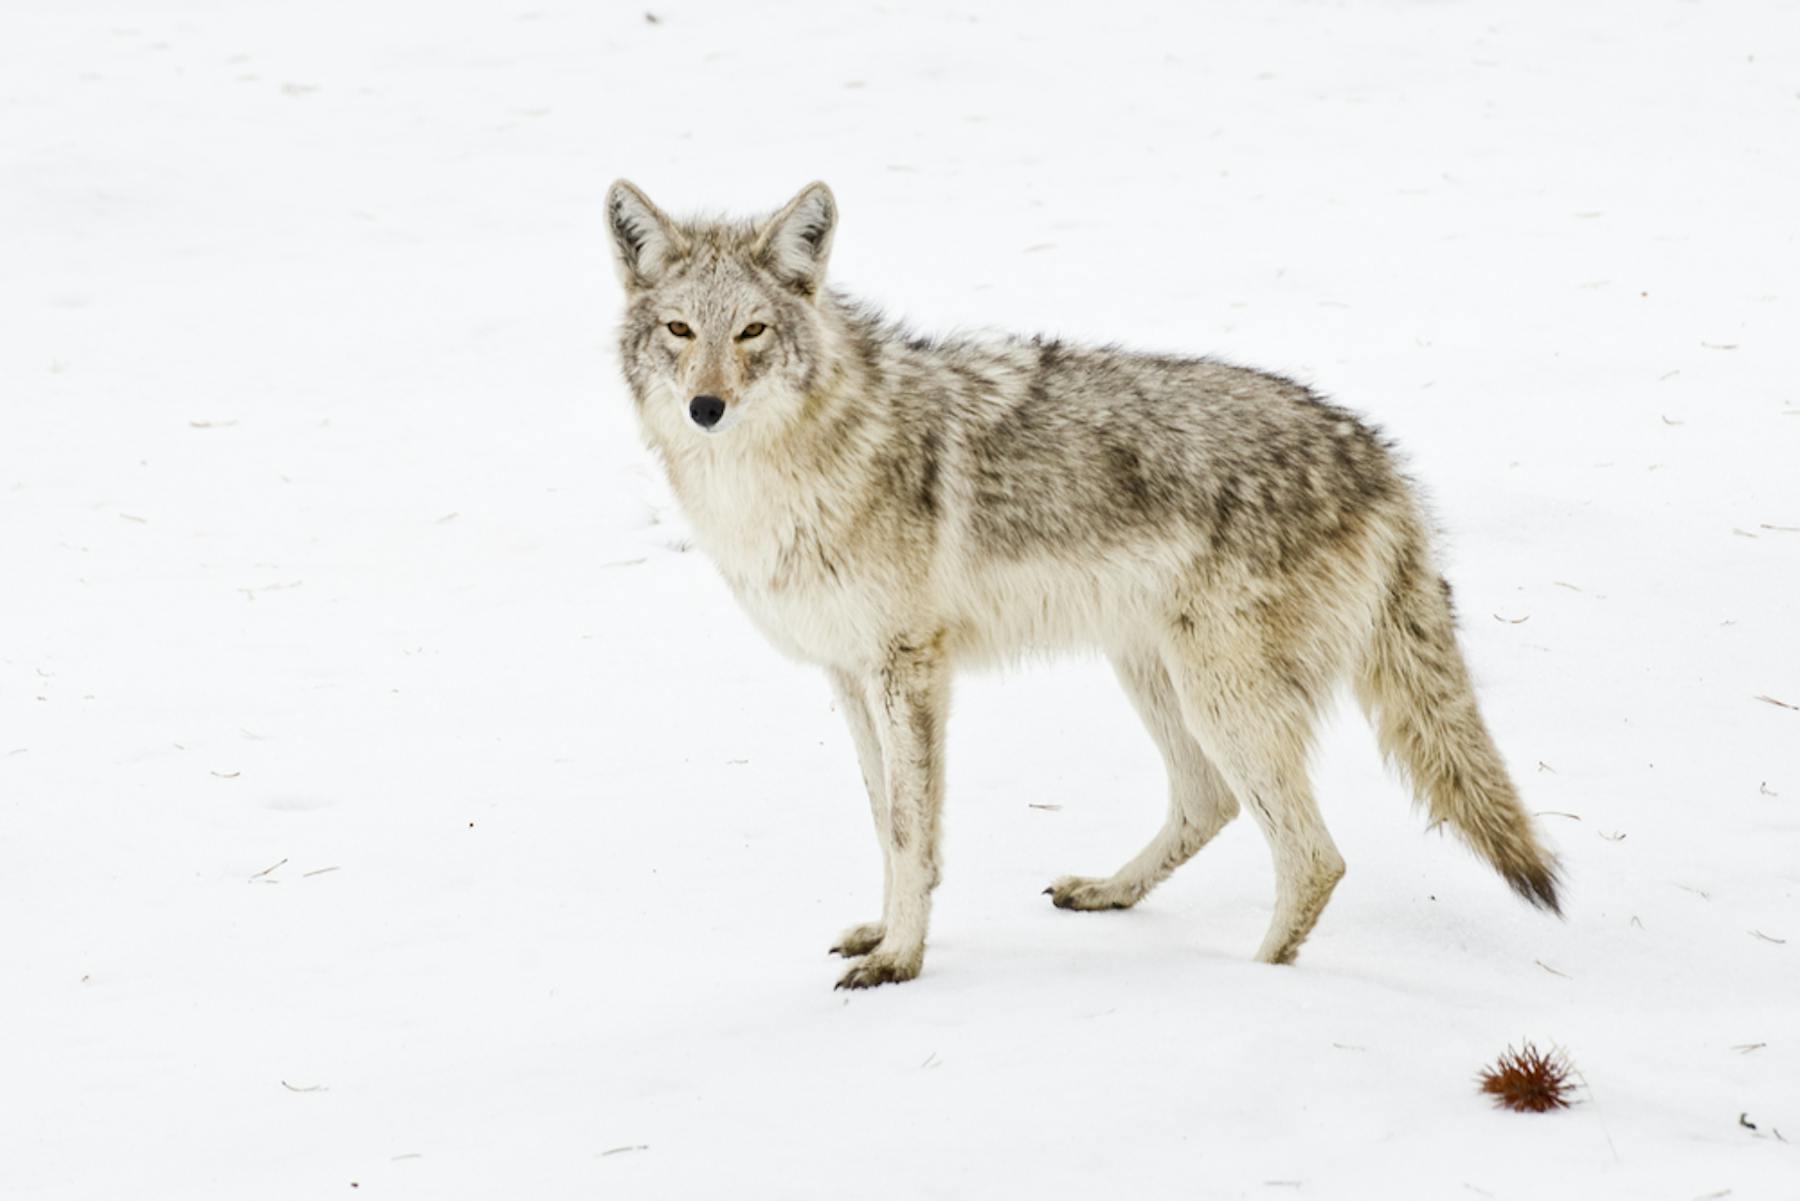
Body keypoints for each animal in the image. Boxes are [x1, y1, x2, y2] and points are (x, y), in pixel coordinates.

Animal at [605, 179, 1562, 989]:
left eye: (752, 332)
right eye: (681, 331)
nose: (705, 409)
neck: (786, 475)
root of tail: (1379, 457)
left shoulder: (909, 669)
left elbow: (912, 833)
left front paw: (900, 961)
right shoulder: (849, 673)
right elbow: (887, 822)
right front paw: (884, 933)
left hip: (1221, 696)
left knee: (1313, 855)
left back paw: (1255, 988)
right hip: (1152, 671)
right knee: (1210, 802)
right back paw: (1109, 891)